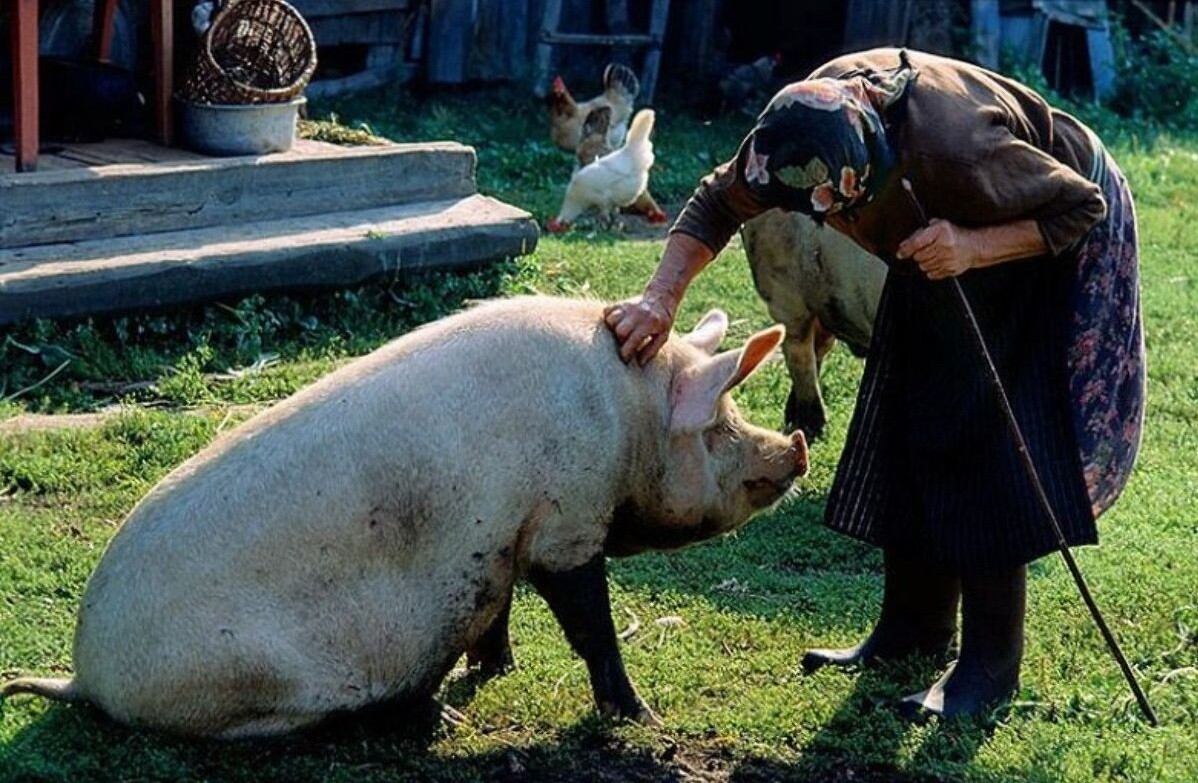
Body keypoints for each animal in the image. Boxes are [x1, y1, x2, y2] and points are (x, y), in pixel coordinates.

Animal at [2, 298, 805, 737]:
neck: (629, 415)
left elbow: (497, 610)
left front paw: (501, 667)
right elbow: (590, 626)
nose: (794, 447)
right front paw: (641, 718)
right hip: (249, 683)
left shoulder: (501, 537)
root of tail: (85, 677)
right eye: (720, 425)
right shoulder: (566, 520)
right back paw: (438, 717)